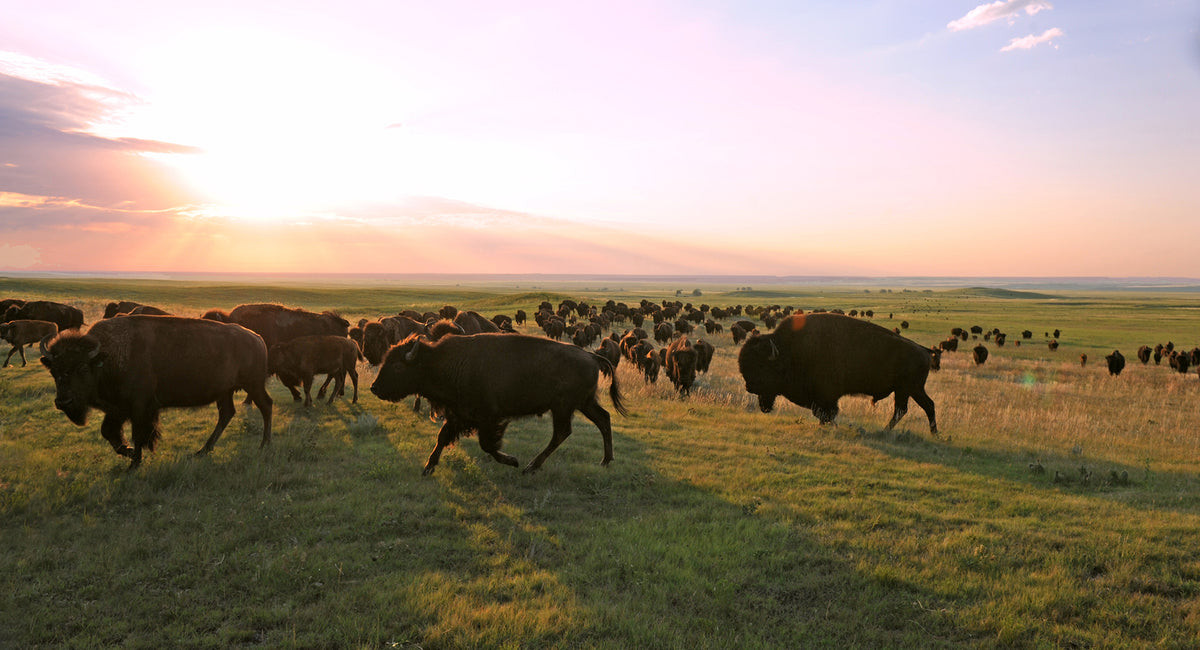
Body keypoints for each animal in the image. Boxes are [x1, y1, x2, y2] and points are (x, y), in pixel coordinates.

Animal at [39, 316, 273, 469]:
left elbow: (138, 434)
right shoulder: (118, 409)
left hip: (253, 384)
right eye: (54, 370)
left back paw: (264, 445)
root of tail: (258, 338)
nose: (63, 402)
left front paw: (134, 463)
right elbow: (109, 432)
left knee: (265, 406)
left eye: (82, 368)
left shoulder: (139, 407)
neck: (108, 357)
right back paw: (202, 451)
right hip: (225, 391)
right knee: (227, 413)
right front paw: (129, 453)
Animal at [371, 333, 628, 475]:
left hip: (563, 407)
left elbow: (487, 445)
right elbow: (442, 437)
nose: (374, 388)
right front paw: (428, 467)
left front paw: (512, 461)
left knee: (562, 432)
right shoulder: (458, 415)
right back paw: (605, 461)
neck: (442, 362)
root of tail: (591, 356)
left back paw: (530, 467)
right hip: (583, 404)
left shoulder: (488, 417)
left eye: (397, 366)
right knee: (603, 420)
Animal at [738, 313, 937, 434]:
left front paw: (830, 425)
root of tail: (924, 351)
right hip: (911, 390)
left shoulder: (827, 396)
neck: (788, 351)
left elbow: (827, 412)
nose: (749, 387)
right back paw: (931, 433)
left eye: (762, 366)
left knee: (905, 409)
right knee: (923, 406)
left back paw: (887, 431)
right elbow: (822, 413)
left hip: (907, 389)